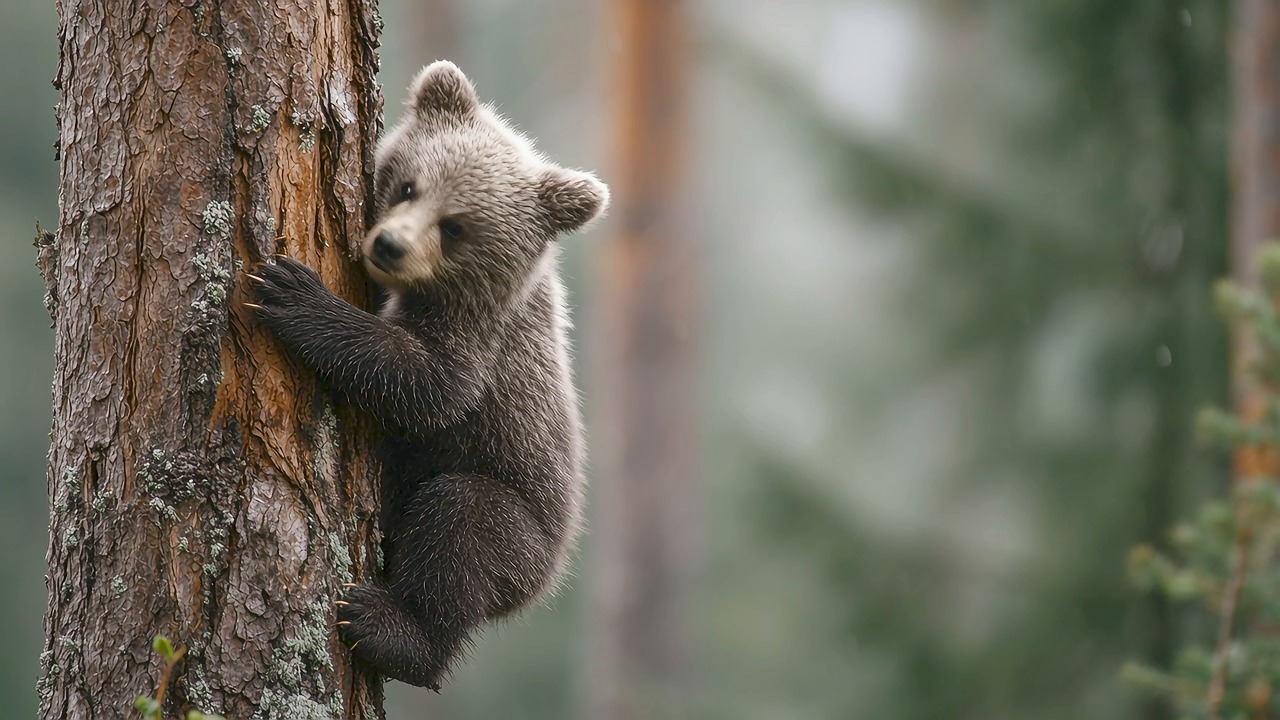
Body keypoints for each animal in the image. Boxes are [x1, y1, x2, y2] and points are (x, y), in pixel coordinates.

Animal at [245, 60, 608, 690]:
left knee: (459, 530)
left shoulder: (482, 341)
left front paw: (293, 292)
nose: (390, 245)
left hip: (517, 527)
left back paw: (387, 628)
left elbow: (428, 383)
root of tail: (552, 574)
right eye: (410, 185)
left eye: (455, 225)